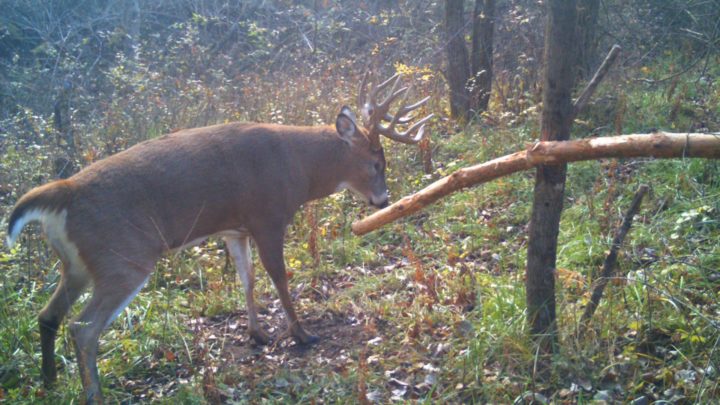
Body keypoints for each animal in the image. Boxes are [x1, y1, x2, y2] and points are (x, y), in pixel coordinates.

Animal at [5, 73, 432, 403]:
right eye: (376, 163)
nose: (384, 200)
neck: (299, 169)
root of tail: (62, 194)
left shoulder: (235, 228)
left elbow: (248, 279)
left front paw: (258, 334)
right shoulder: (267, 216)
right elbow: (279, 277)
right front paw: (301, 333)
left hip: (77, 264)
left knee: (48, 315)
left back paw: (49, 382)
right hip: (122, 257)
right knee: (83, 328)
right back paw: (93, 395)